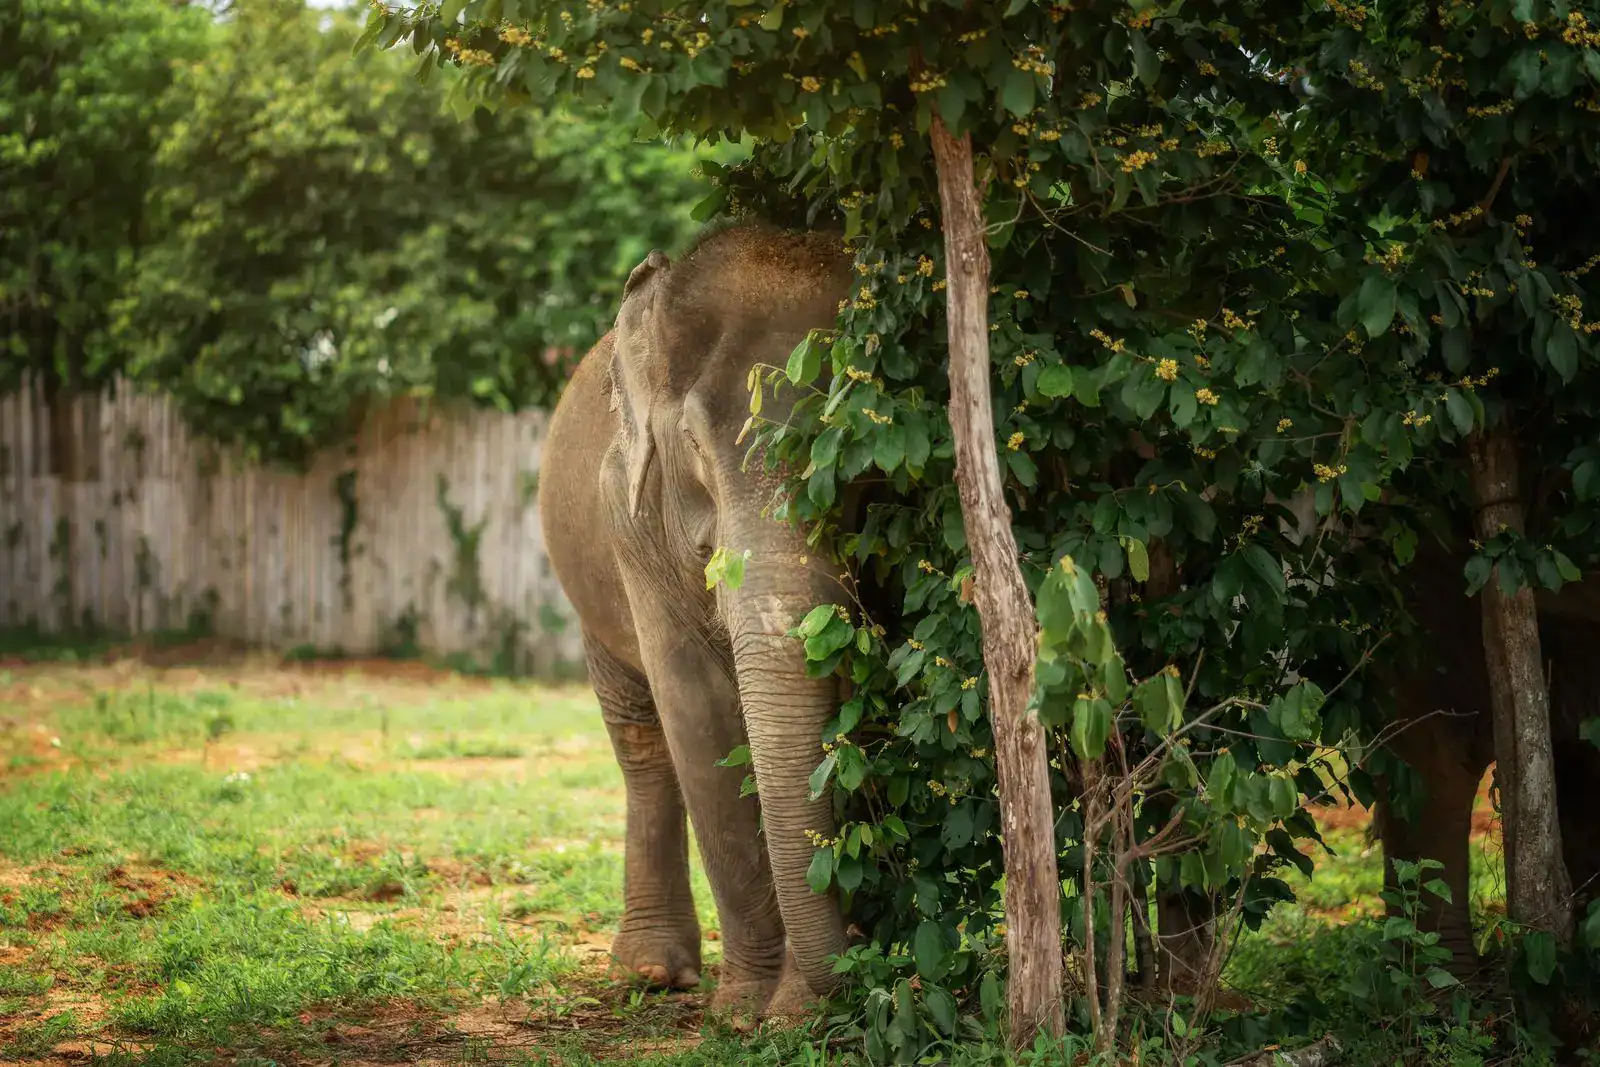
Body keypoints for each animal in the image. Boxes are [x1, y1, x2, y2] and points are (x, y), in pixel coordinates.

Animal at [539, 223, 857, 1018]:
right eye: (694, 457)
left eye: (857, 464)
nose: (825, 989)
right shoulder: (632, 521)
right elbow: (699, 712)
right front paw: (747, 1012)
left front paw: (791, 1010)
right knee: (642, 745)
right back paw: (652, 974)